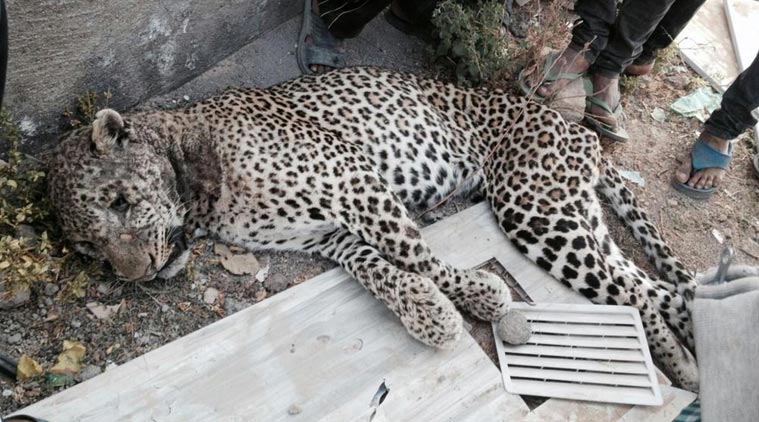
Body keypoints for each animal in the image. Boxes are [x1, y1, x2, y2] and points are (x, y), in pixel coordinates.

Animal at [48, 66, 699, 390]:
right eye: (88, 248)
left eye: (121, 201)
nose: (141, 274)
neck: (198, 188)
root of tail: (574, 126)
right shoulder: (319, 232)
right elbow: (373, 267)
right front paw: (429, 312)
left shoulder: (354, 179)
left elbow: (410, 250)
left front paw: (476, 294)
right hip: (571, 216)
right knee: (642, 289)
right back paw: (686, 360)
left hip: (534, 209)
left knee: (651, 292)